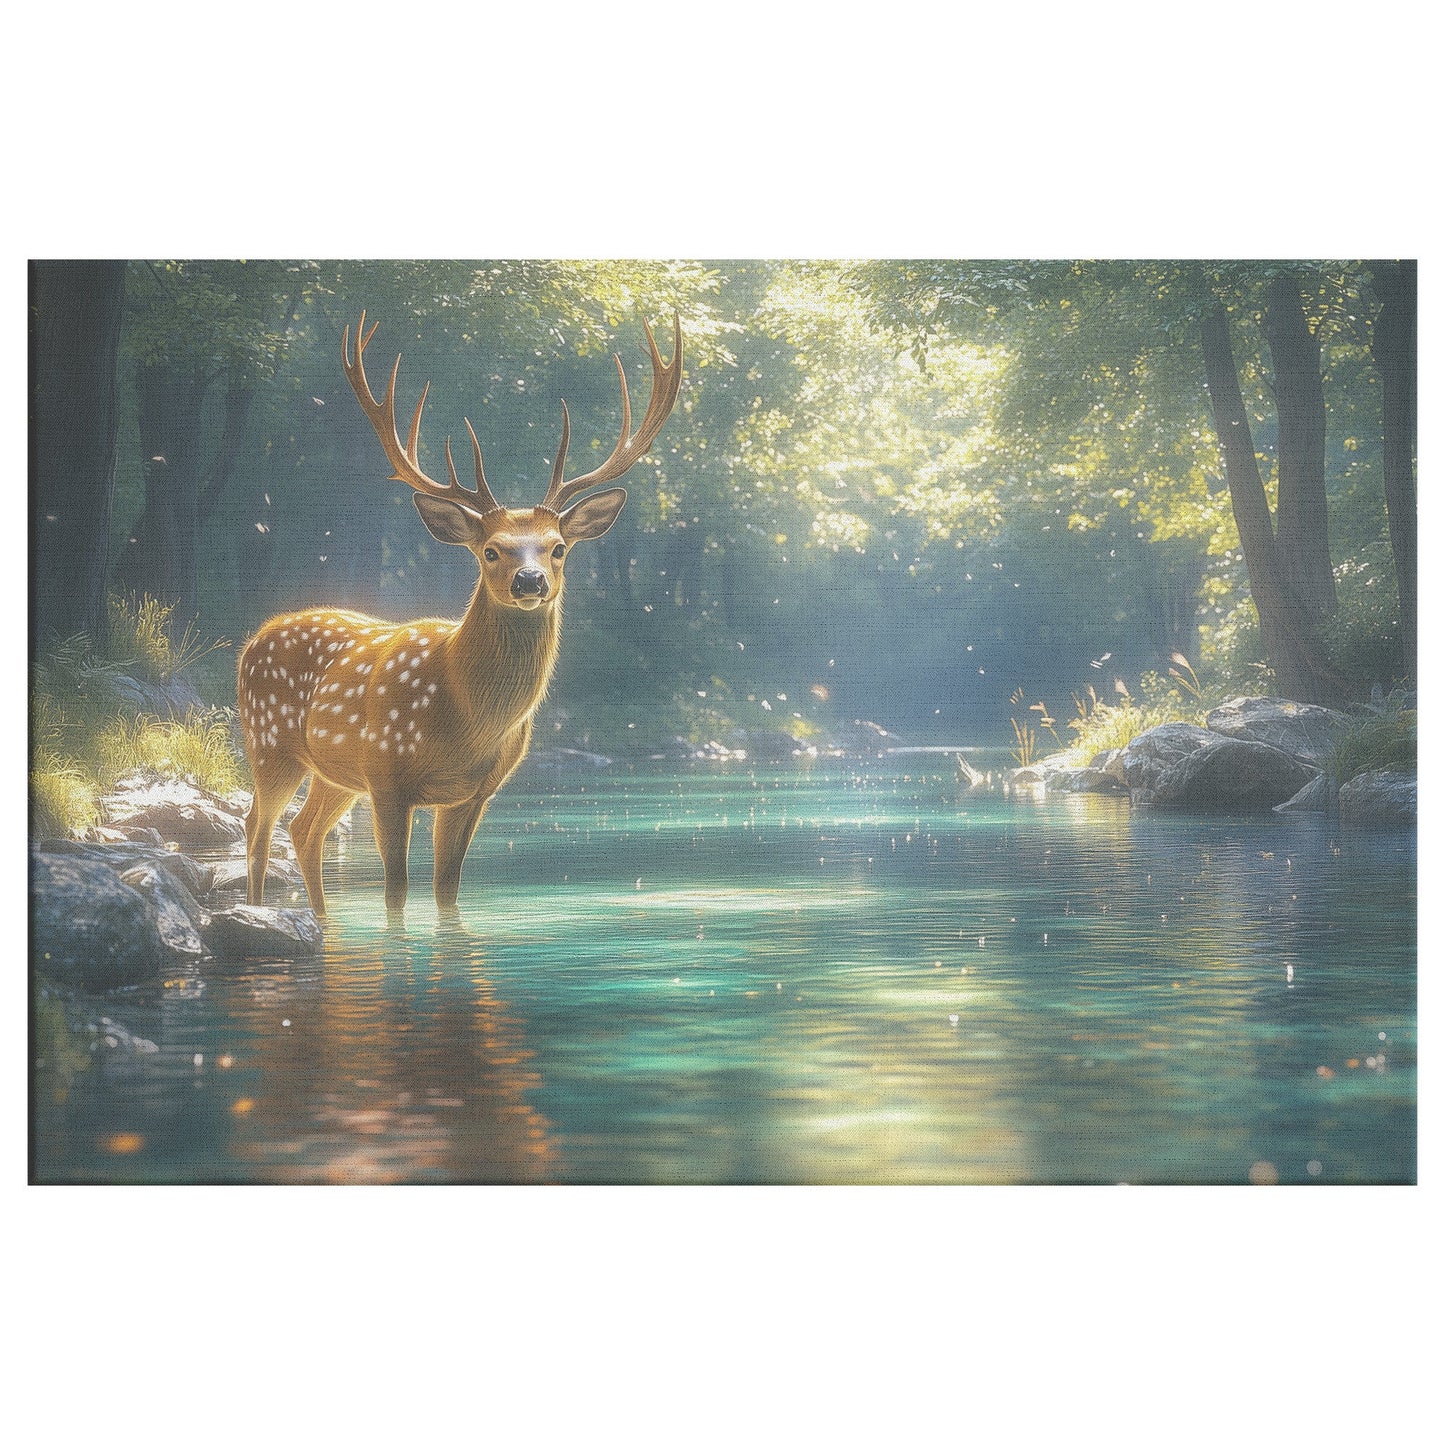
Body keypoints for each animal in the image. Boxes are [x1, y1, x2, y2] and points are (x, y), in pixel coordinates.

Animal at [238, 311, 683, 915]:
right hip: (270, 742)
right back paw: (261, 909)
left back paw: (323, 923)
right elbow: (396, 893)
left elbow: (448, 892)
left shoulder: (475, 793)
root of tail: (254, 637)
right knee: (257, 826)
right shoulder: (388, 776)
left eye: (557, 547)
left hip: (335, 773)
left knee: (305, 830)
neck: (463, 716)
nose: (529, 580)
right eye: (490, 550)